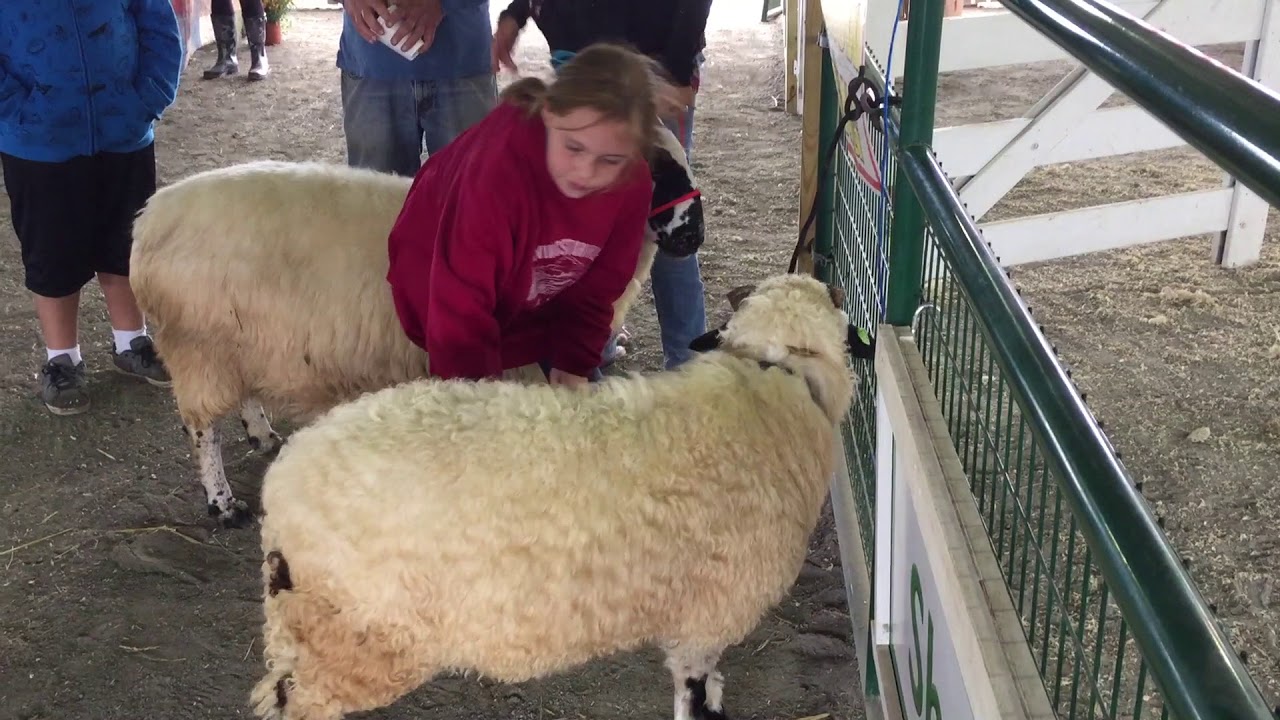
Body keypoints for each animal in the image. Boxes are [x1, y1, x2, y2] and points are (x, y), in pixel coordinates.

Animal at [129, 122, 702, 529]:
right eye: (652, 168)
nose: (692, 235)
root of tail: (148, 220)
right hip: (199, 345)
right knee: (201, 429)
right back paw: (223, 505)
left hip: (238, 339)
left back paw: (262, 435)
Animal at [246, 271, 870, 720]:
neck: (779, 373)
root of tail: (283, 488)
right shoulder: (711, 613)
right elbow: (695, 694)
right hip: (362, 636)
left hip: (309, 627)